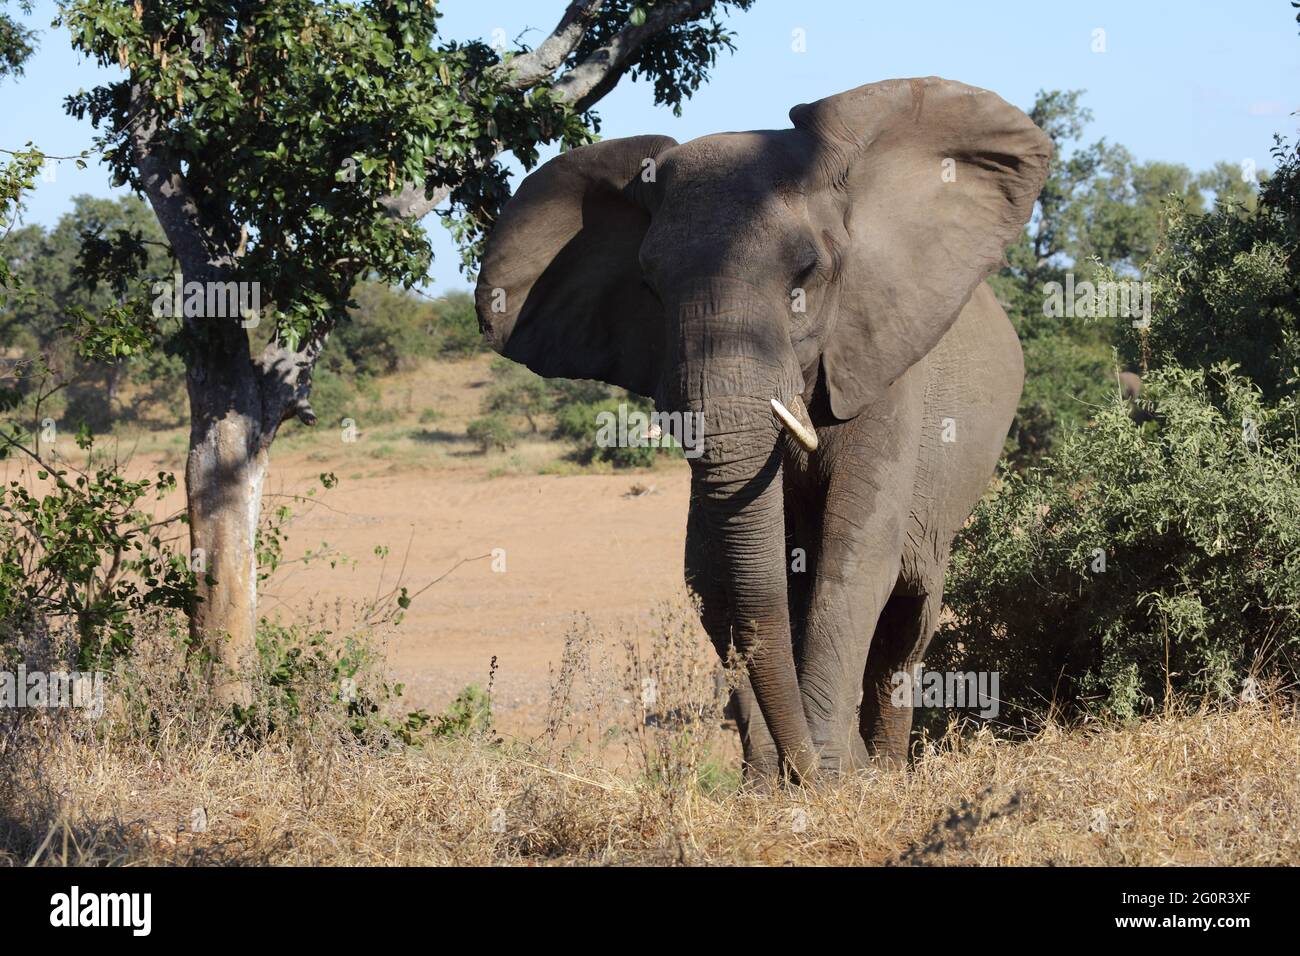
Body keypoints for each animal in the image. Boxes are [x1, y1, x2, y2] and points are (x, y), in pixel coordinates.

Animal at [475, 77, 1052, 784]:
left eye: (807, 277)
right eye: (650, 289)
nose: (802, 771)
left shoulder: (881, 362)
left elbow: (855, 550)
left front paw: (837, 775)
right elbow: (710, 569)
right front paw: (770, 784)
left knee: (910, 613)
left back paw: (887, 770)